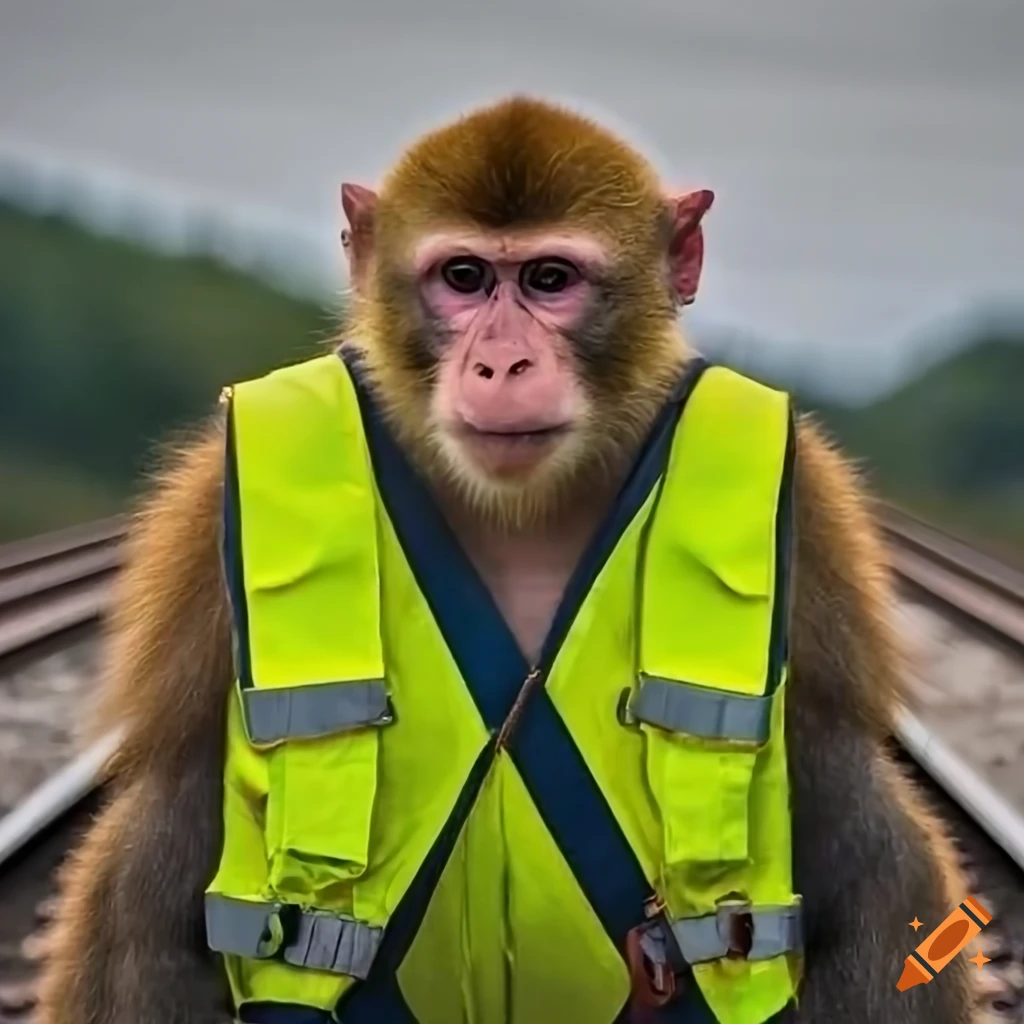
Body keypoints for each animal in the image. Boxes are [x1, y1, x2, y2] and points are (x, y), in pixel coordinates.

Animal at [36, 96, 977, 1024]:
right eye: (463, 278)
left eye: (550, 280)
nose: (502, 361)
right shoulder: (203, 518)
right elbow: (165, 831)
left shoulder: (813, 511)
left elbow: (858, 825)